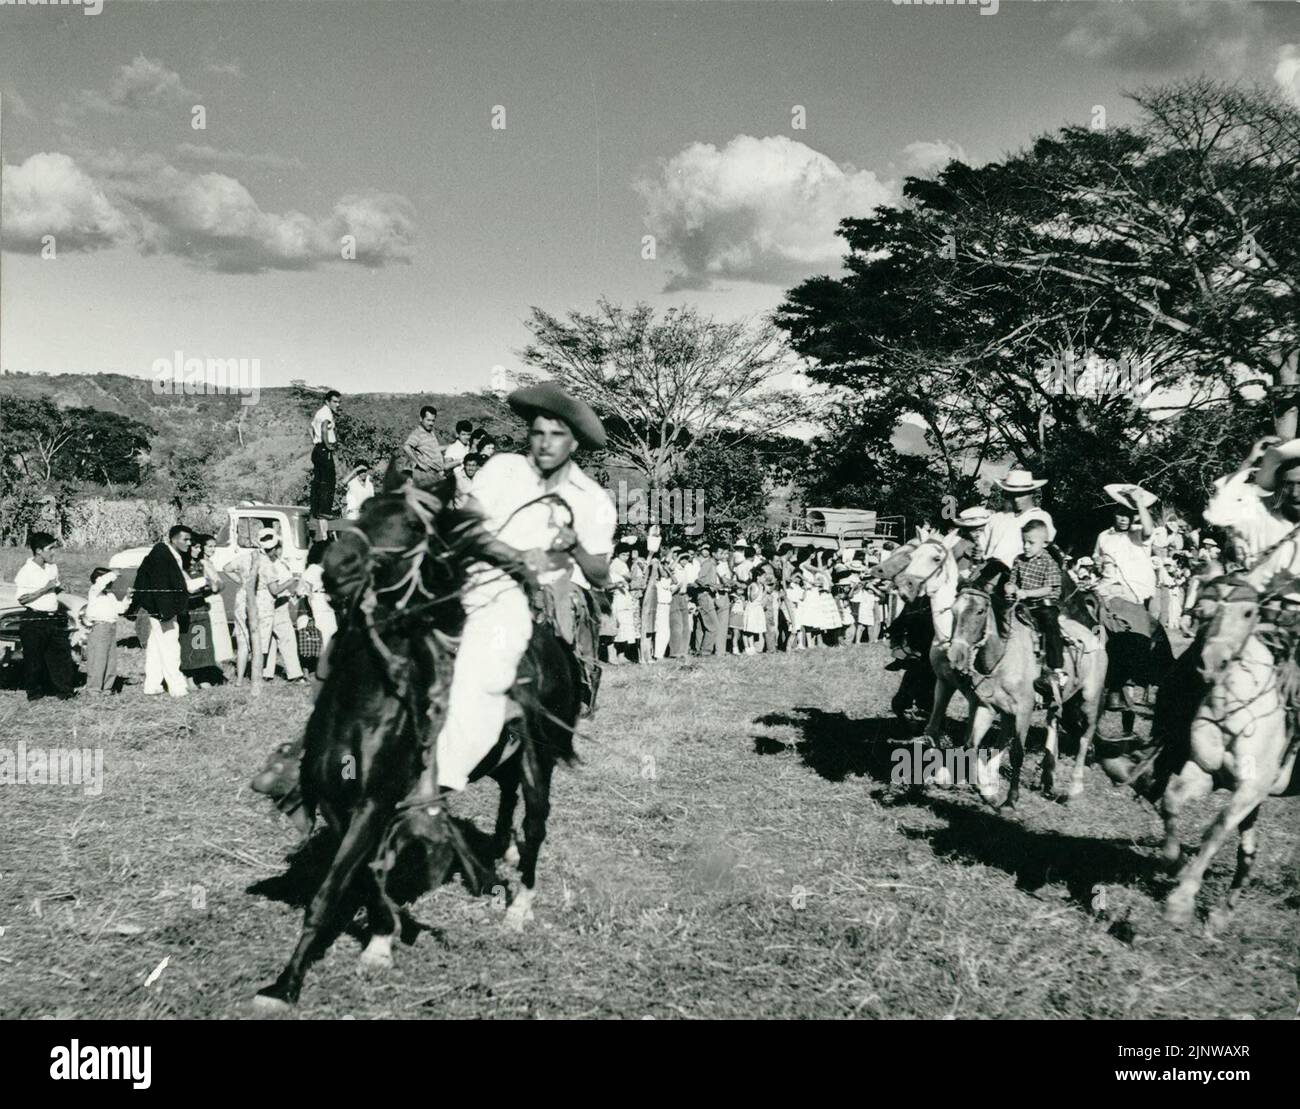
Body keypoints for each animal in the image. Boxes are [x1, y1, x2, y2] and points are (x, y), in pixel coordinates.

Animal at [252, 484, 582, 1011]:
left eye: (410, 526)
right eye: (361, 514)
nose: (337, 565)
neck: (362, 701)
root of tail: (554, 645)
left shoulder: (373, 800)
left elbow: (330, 888)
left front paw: (286, 984)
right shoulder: (341, 804)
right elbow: (363, 872)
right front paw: (382, 938)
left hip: (539, 757)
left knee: (535, 822)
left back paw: (519, 904)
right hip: (501, 759)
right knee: (507, 797)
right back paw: (497, 860)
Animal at [1100, 575, 1299, 924]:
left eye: (1248, 612)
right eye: (1201, 613)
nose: (1212, 662)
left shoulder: (1250, 789)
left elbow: (1216, 829)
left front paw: (1181, 901)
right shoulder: (1207, 774)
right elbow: (1171, 802)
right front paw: (1177, 867)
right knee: (1248, 849)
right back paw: (1222, 913)